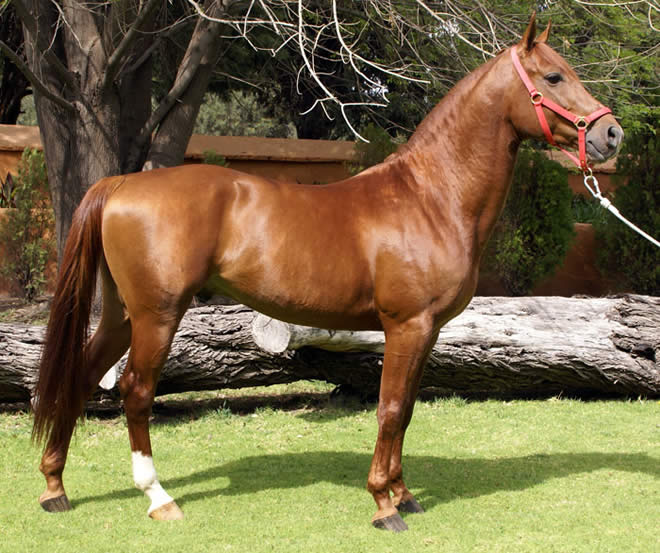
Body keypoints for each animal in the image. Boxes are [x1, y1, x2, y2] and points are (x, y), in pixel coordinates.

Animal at [33, 14, 623, 532]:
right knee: (135, 391)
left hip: (121, 314)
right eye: (553, 76)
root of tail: (121, 184)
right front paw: (384, 504)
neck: (431, 196)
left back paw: (55, 488)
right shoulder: (406, 326)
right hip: (157, 315)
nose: (611, 134)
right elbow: (389, 409)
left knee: (82, 376)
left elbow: (406, 410)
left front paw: (405, 495)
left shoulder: (427, 332)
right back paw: (159, 498)